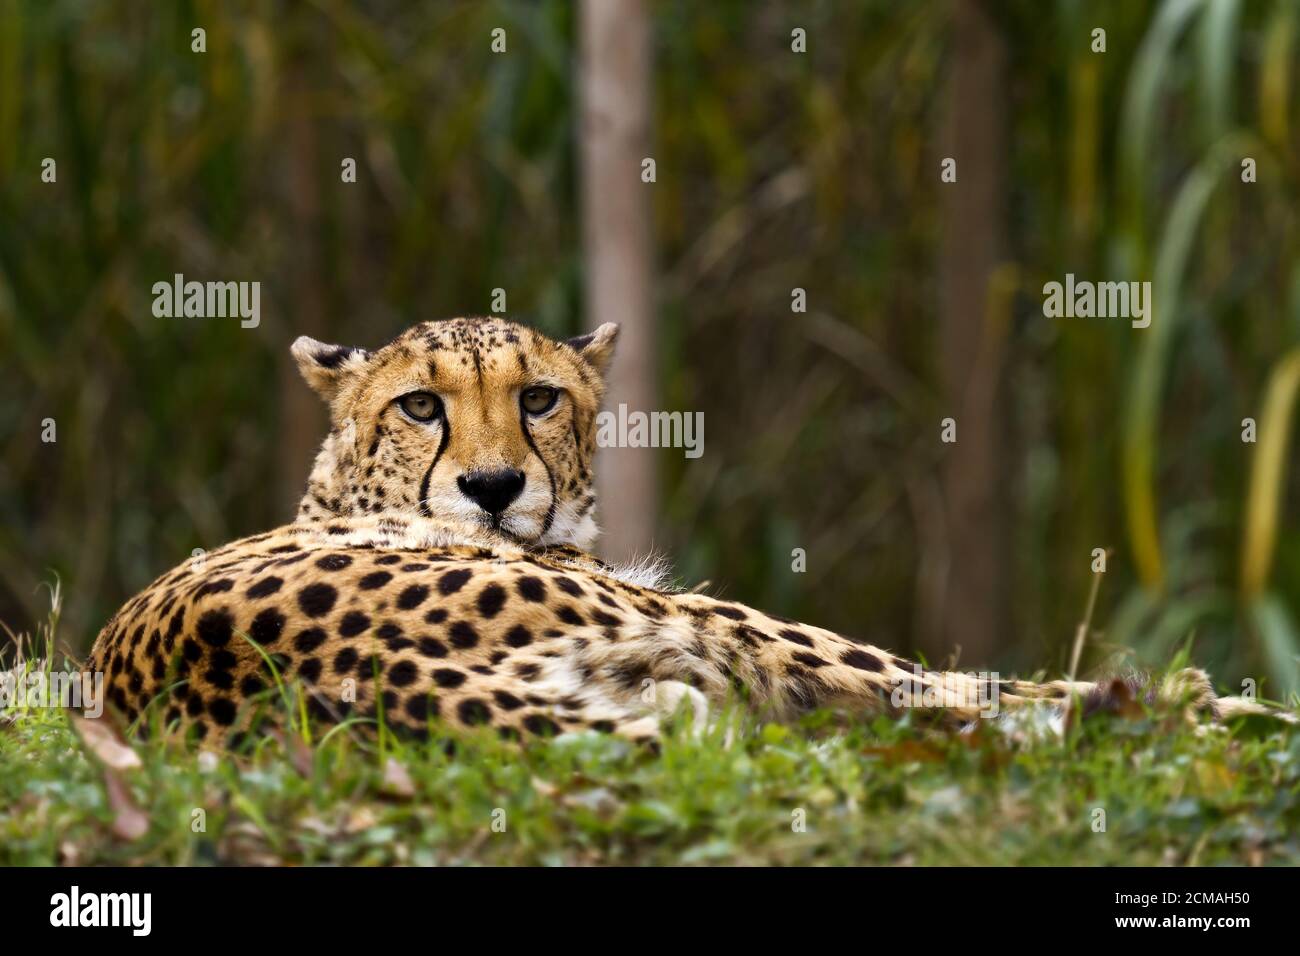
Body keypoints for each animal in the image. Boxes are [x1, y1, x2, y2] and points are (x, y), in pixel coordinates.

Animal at [85, 316, 1274, 747]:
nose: (491, 487)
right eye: (420, 405)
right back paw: (1211, 702)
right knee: (938, 688)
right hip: (722, 627)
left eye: (540, 398)